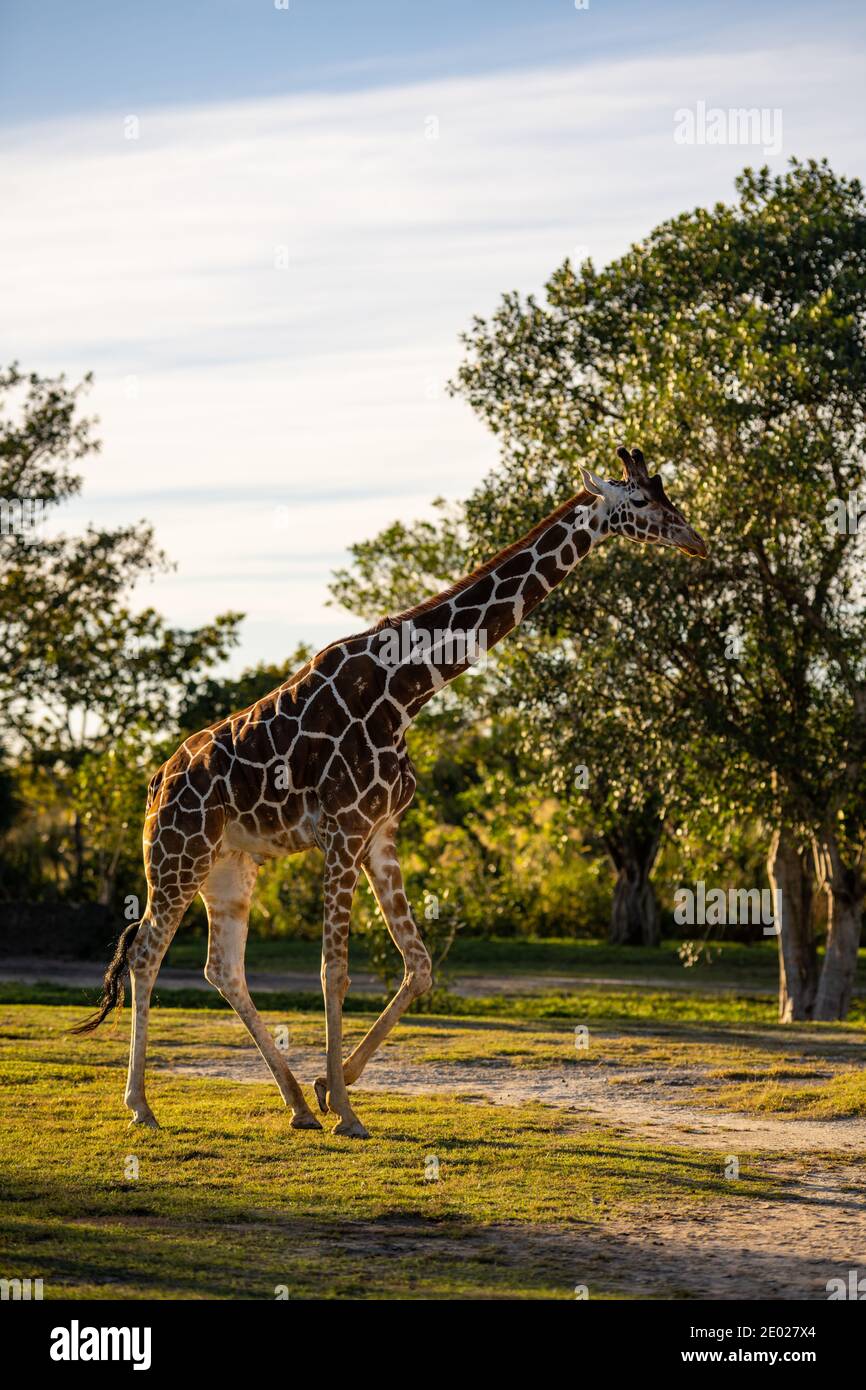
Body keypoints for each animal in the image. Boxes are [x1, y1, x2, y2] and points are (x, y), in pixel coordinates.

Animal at [74, 446, 706, 1138]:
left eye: (665, 491)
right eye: (640, 500)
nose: (695, 539)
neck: (408, 687)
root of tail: (156, 782)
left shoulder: (381, 832)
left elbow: (420, 965)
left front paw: (331, 1087)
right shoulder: (344, 831)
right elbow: (335, 972)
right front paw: (347, 1113)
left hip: (231, 866)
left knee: (222, 967)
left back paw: (295, 1104)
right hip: (176, 857)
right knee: (146, 955)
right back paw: (141, 1106)